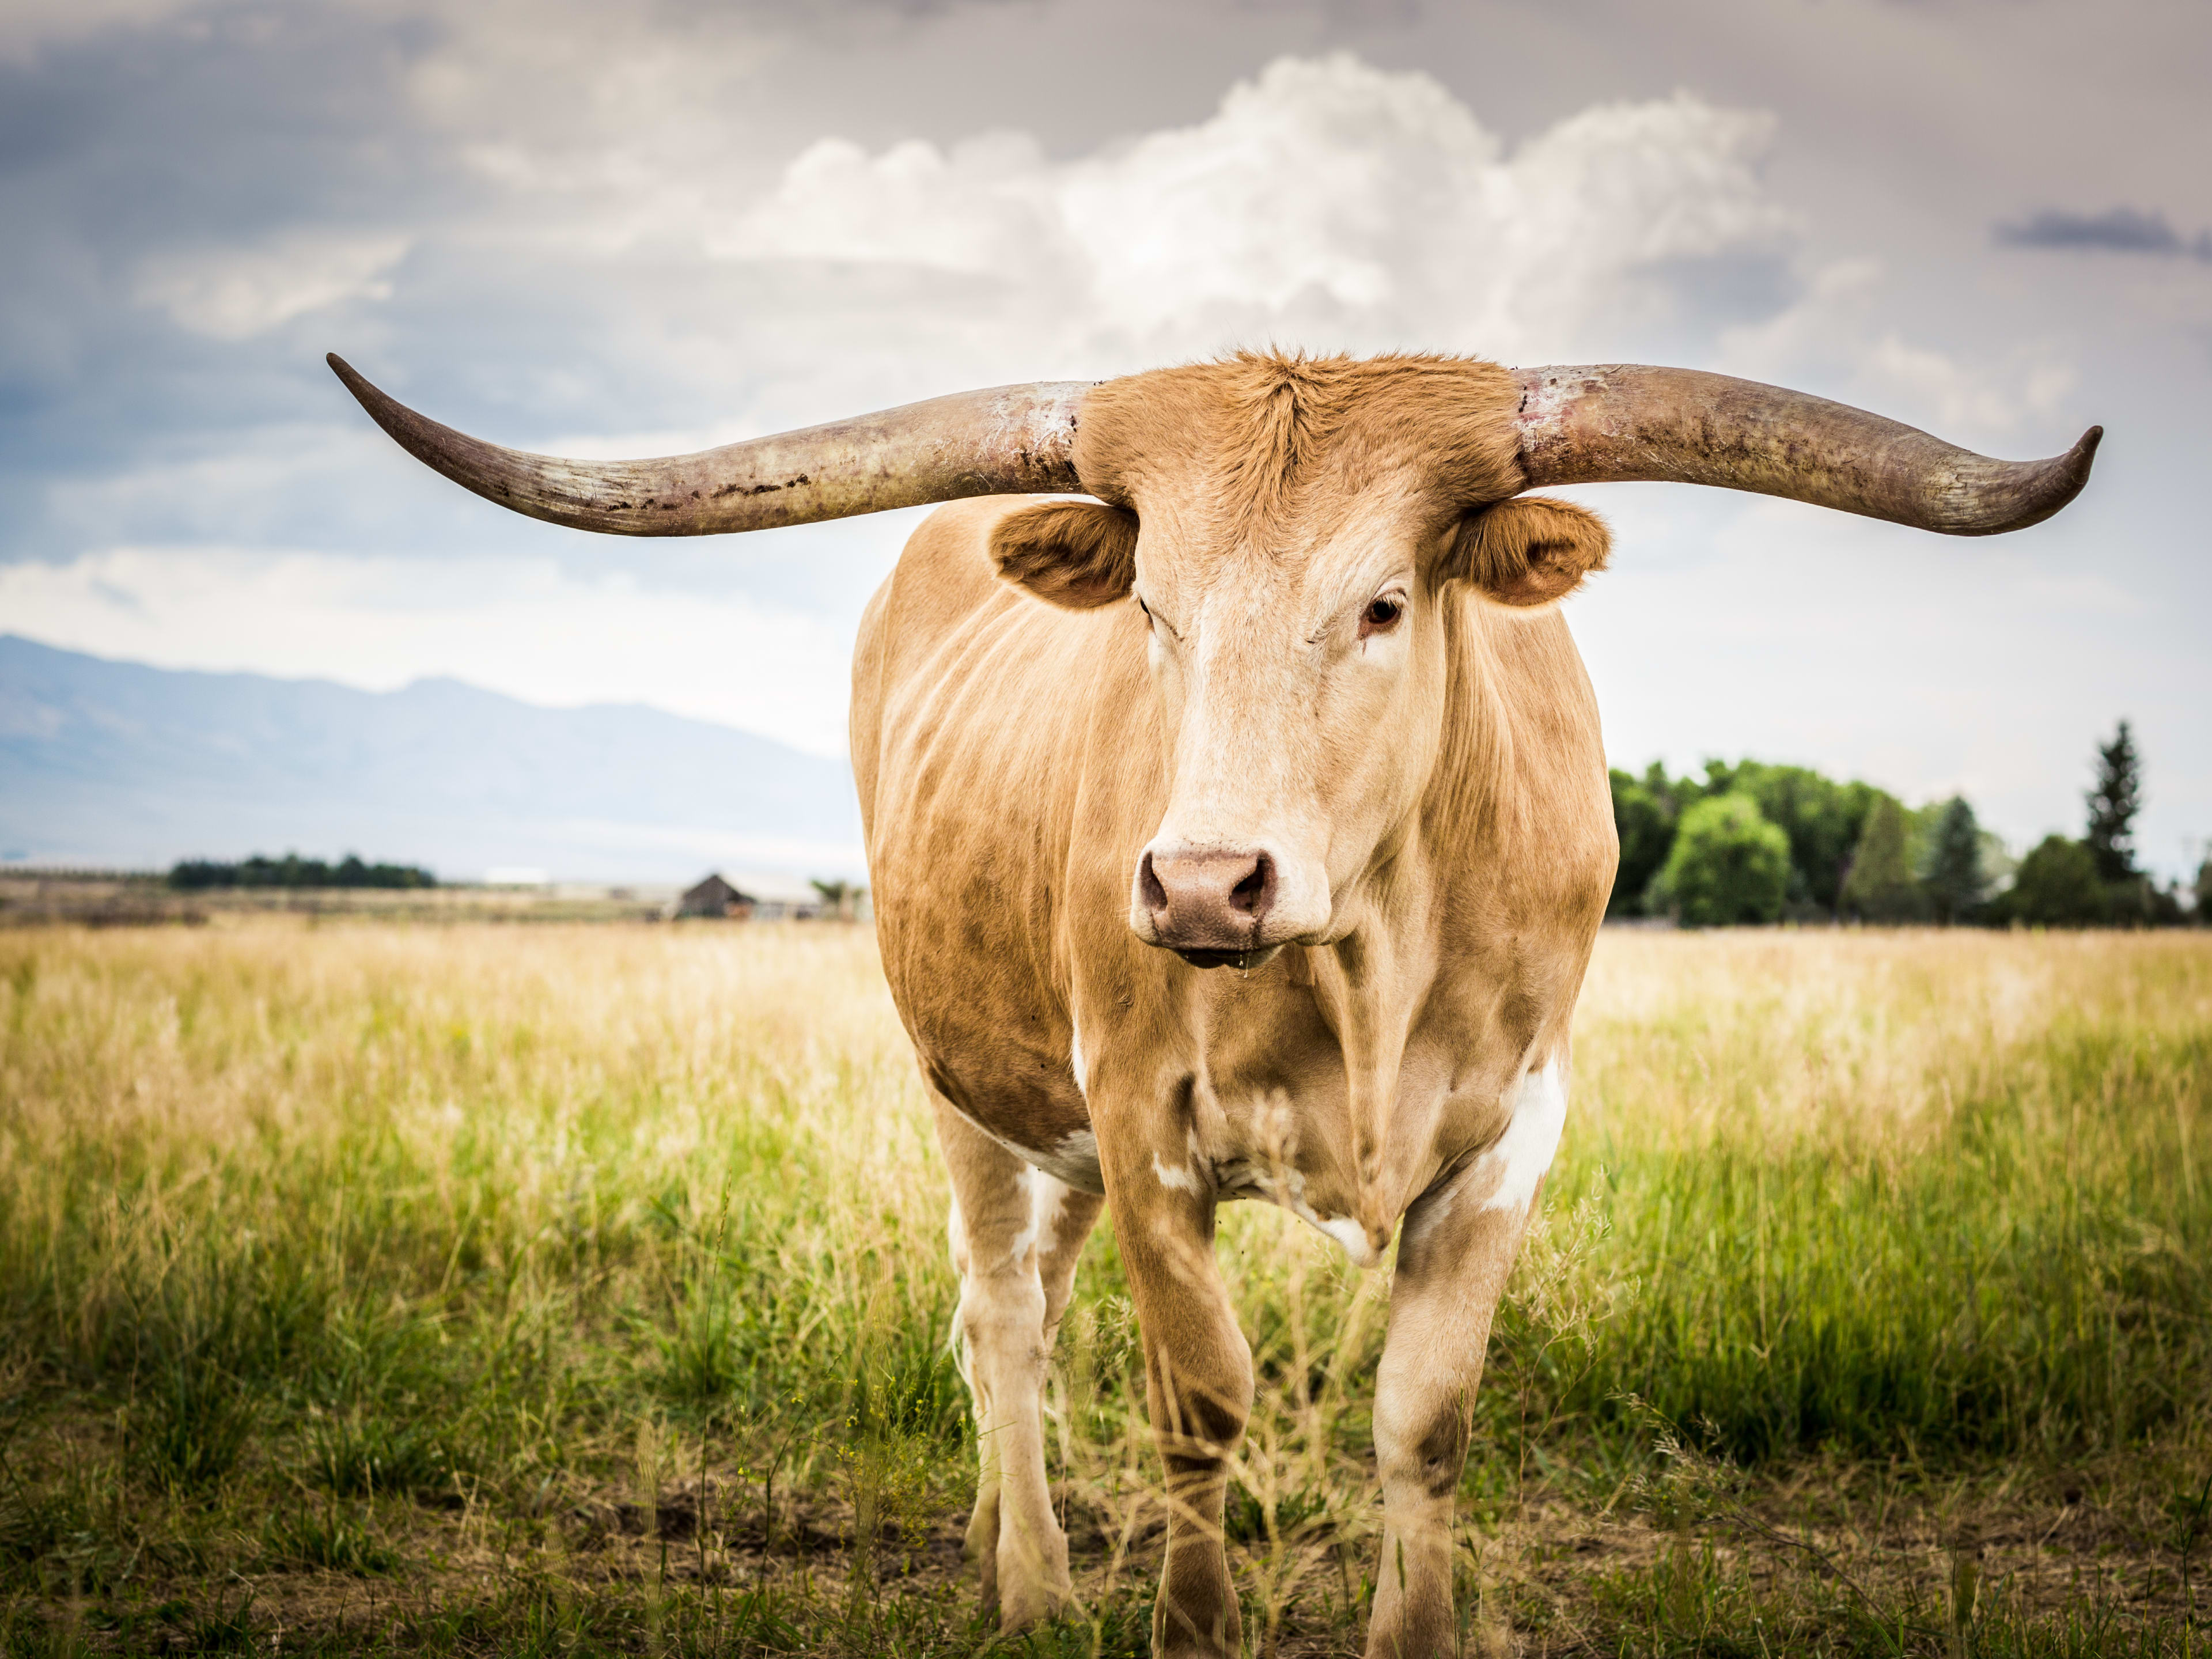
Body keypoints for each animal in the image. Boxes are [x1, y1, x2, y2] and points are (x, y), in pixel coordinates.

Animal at [332, 348, 2097, 1657]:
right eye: (1153, 611)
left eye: (1385, 602)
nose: (1196, 885)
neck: (1364, 953)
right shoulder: (1141, 1123)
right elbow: (1200, 1400)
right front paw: (1183, 1616)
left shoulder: (1512, 1132)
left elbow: (1424, 1417)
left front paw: (1410, 1628)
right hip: (968, 1090)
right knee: (999, 1316)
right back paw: (1035, 1583)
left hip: (1055, 1136)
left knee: (1026, 1315)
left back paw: (995, 1537)